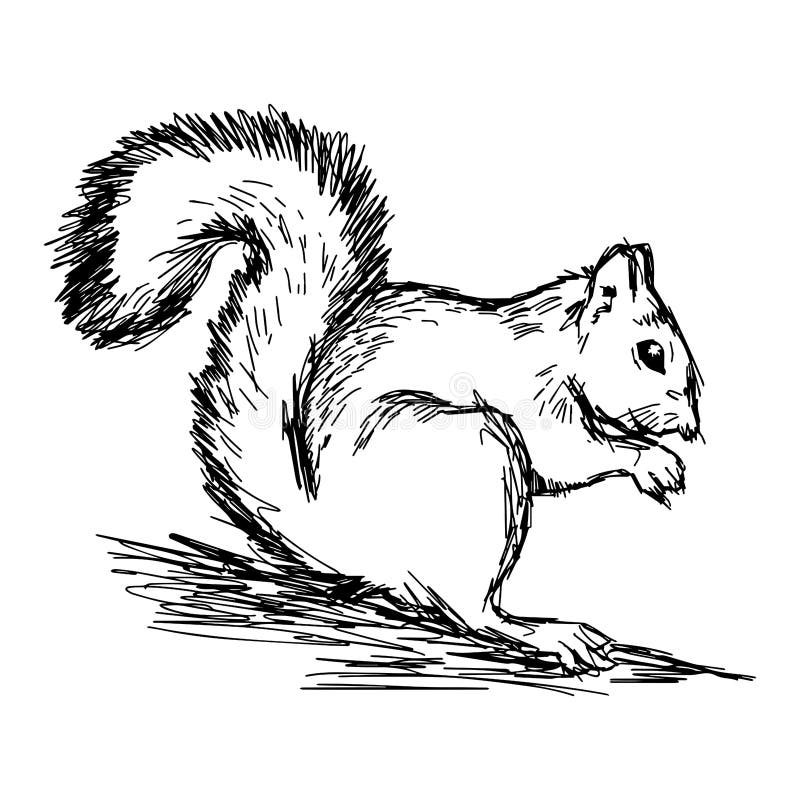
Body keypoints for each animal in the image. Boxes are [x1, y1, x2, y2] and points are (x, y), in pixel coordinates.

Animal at [51, 107, 702, 674]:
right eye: (651, 353)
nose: (693, 426)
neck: (559, 344)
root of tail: (353, 541)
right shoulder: (536, 398)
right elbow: (573, 454)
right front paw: (654, 460)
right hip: (474, 455)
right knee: (467, 609)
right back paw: (550, 633)